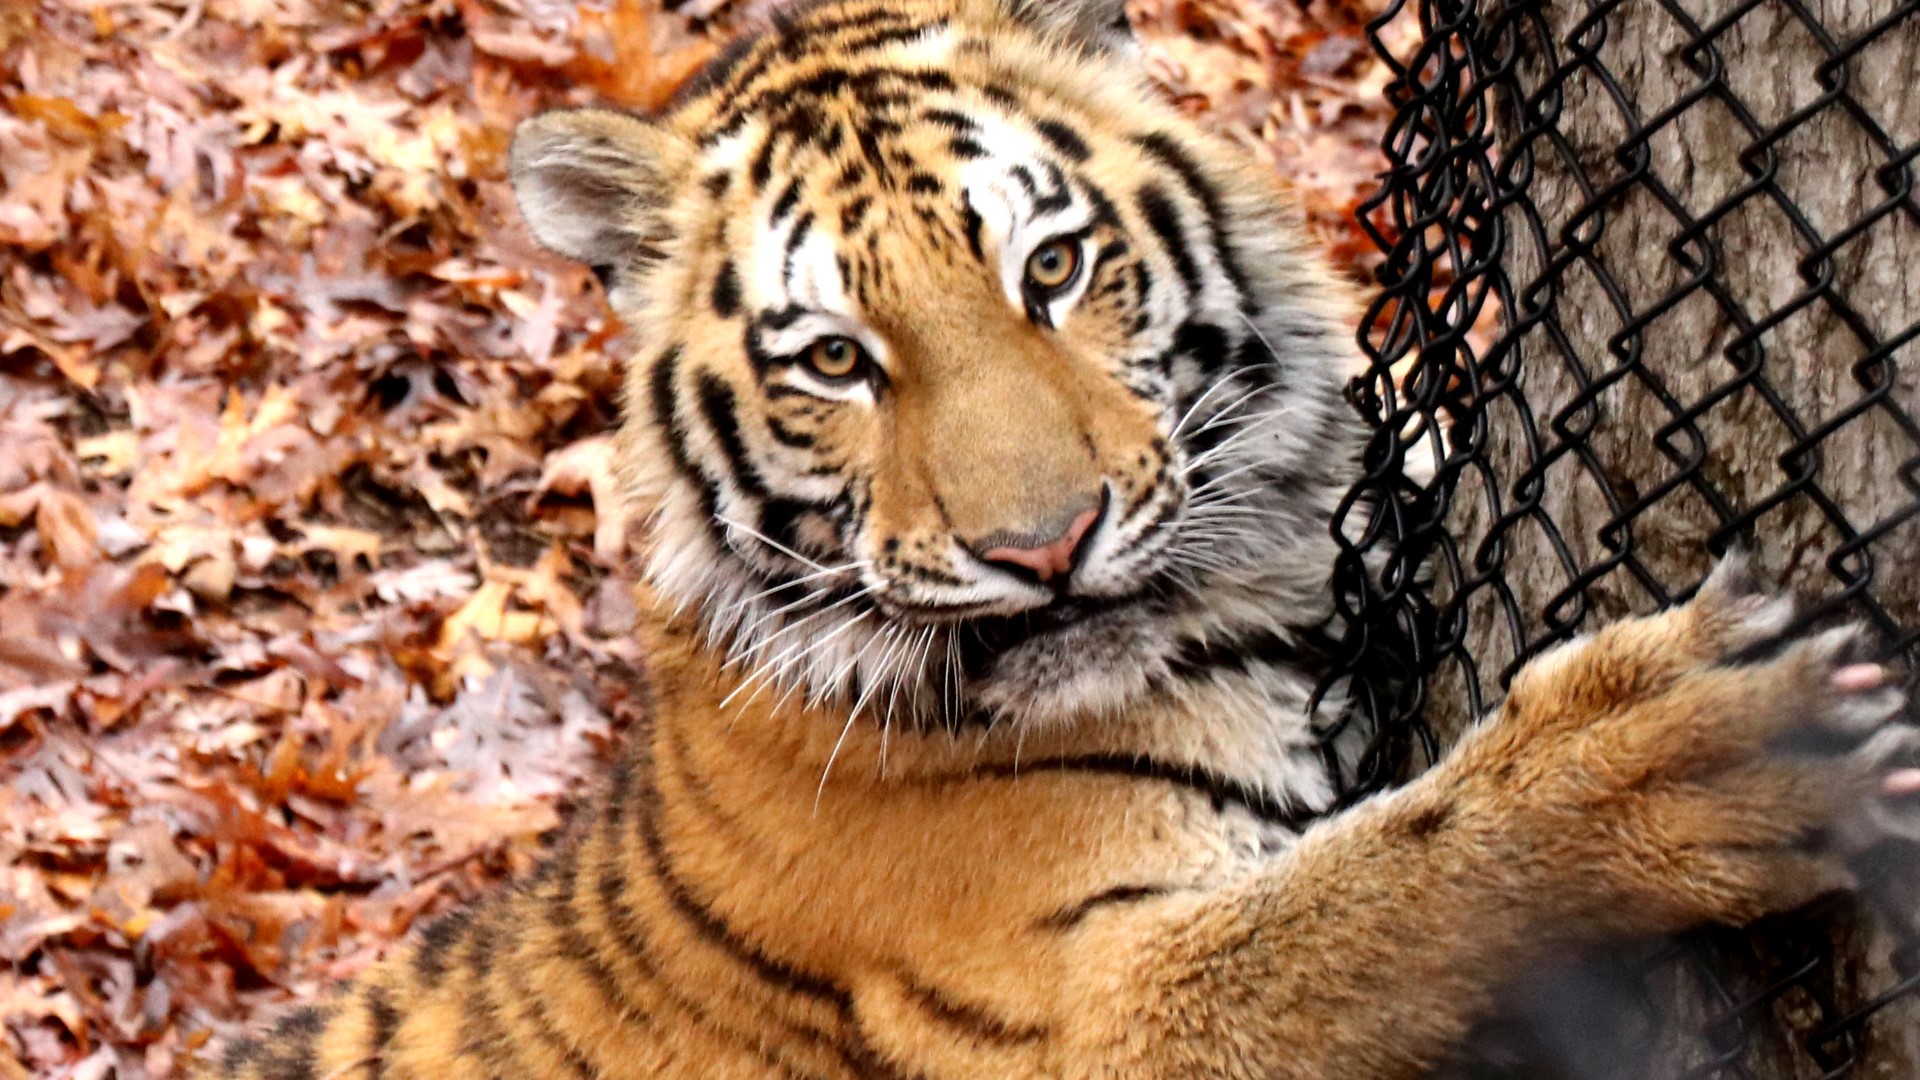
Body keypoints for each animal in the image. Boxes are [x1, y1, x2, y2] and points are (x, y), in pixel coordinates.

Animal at [201, 0, 1920, 1077]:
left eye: (1052, 266)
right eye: (837, 360)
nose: (1045, 547)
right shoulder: (1076, 1005)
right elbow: (1373, 904)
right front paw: (1684, 748)